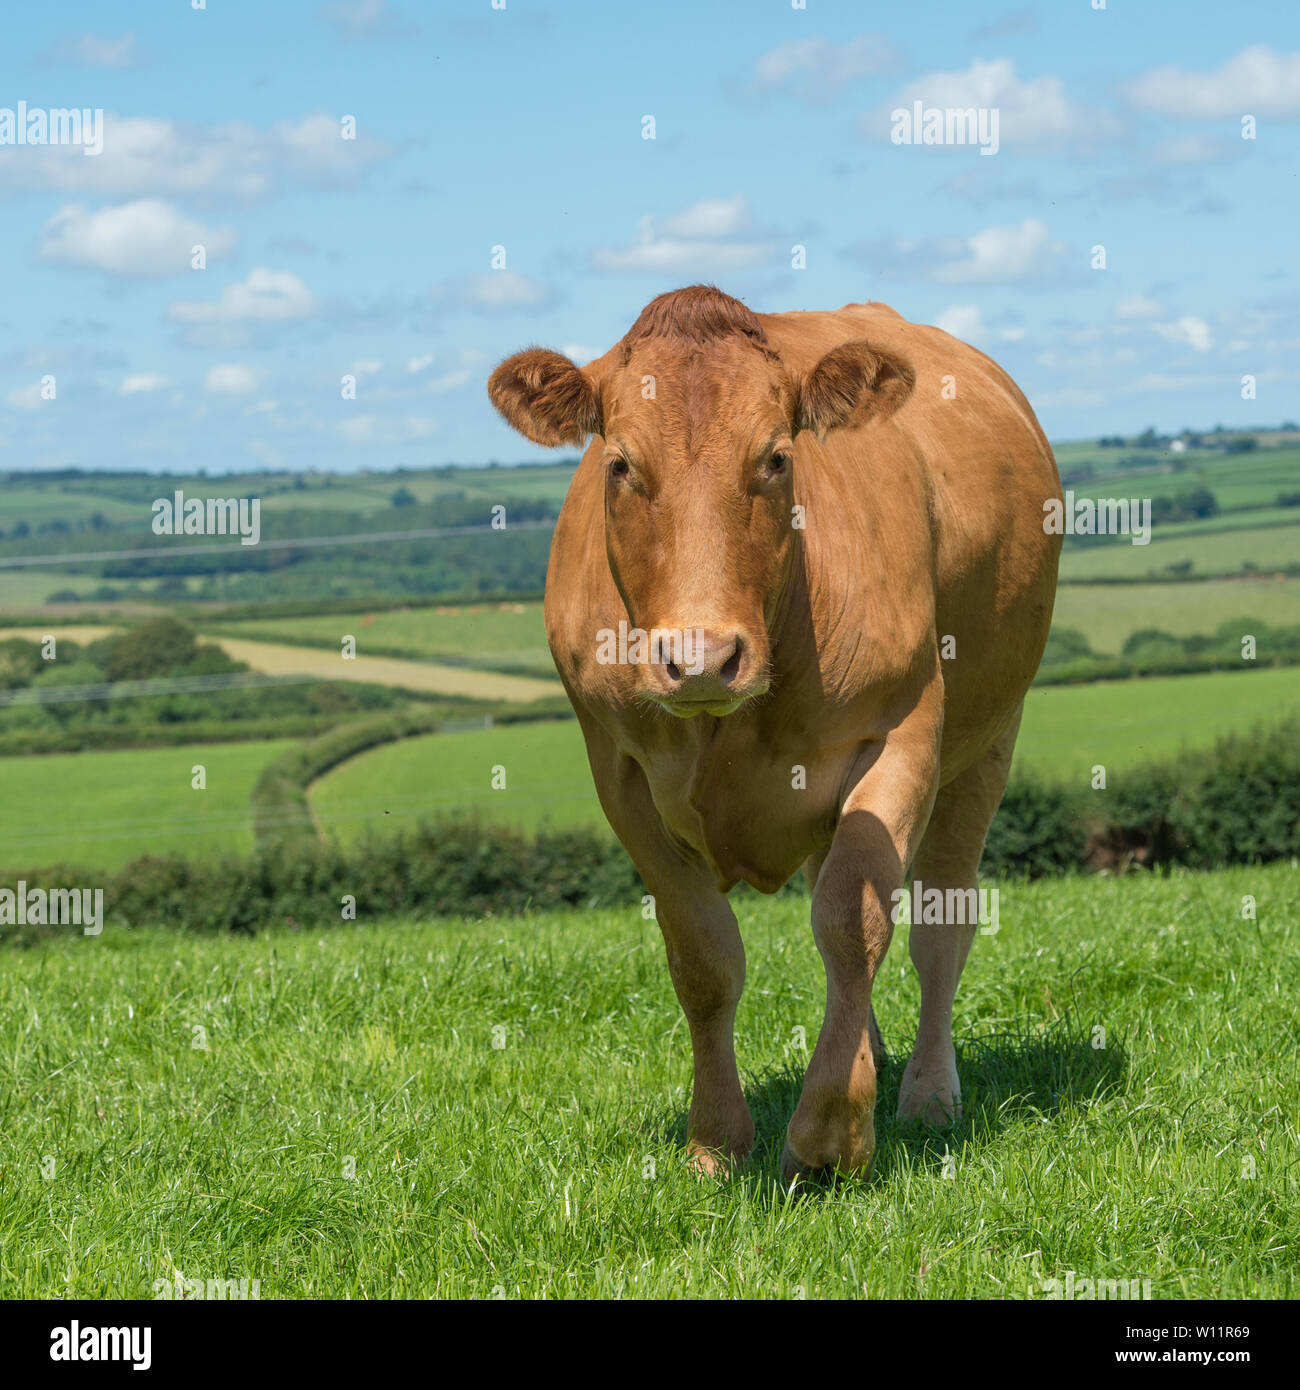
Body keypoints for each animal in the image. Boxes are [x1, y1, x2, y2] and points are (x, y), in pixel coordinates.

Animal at [489, 285, 1062, 1182]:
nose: (700, 659)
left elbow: (856, 925)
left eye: (776, 457)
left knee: (940, 921)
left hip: (989, 739)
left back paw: (927, 1093)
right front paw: (716, 1140)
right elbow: (704, 957)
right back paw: (868, 1057)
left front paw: (829, 1137)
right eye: (620, 464)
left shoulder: (903, 733)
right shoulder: (617, 772)